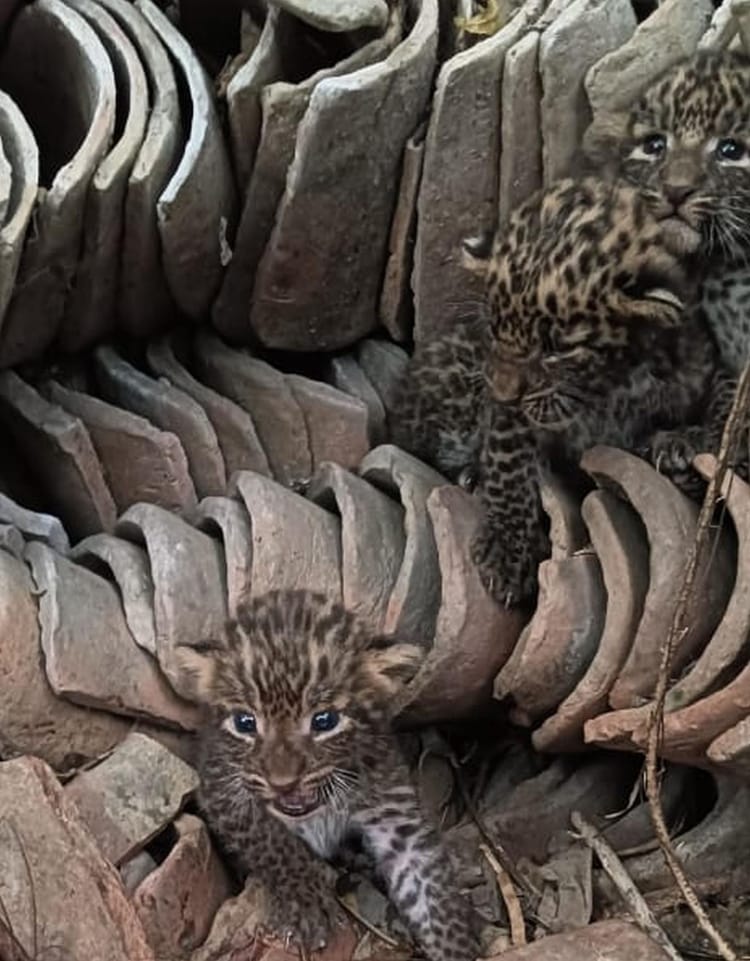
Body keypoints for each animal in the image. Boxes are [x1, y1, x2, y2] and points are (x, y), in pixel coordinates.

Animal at [176, 589, 478, 961]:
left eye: (325, 721)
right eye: (245, 723)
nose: (283, 783)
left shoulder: (395, 815)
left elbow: (432, 894)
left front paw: (459, 950)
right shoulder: (221, 787)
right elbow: (270, 840)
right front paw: (308, 900)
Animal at [394, 176, 736, 607]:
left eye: (557, 348)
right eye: (494, 328)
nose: (502, 394)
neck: (612, 381)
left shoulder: (703, 362)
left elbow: (726, 403)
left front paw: (688, 446)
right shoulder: (508, 407)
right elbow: (508, 462)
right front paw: (509, 549)